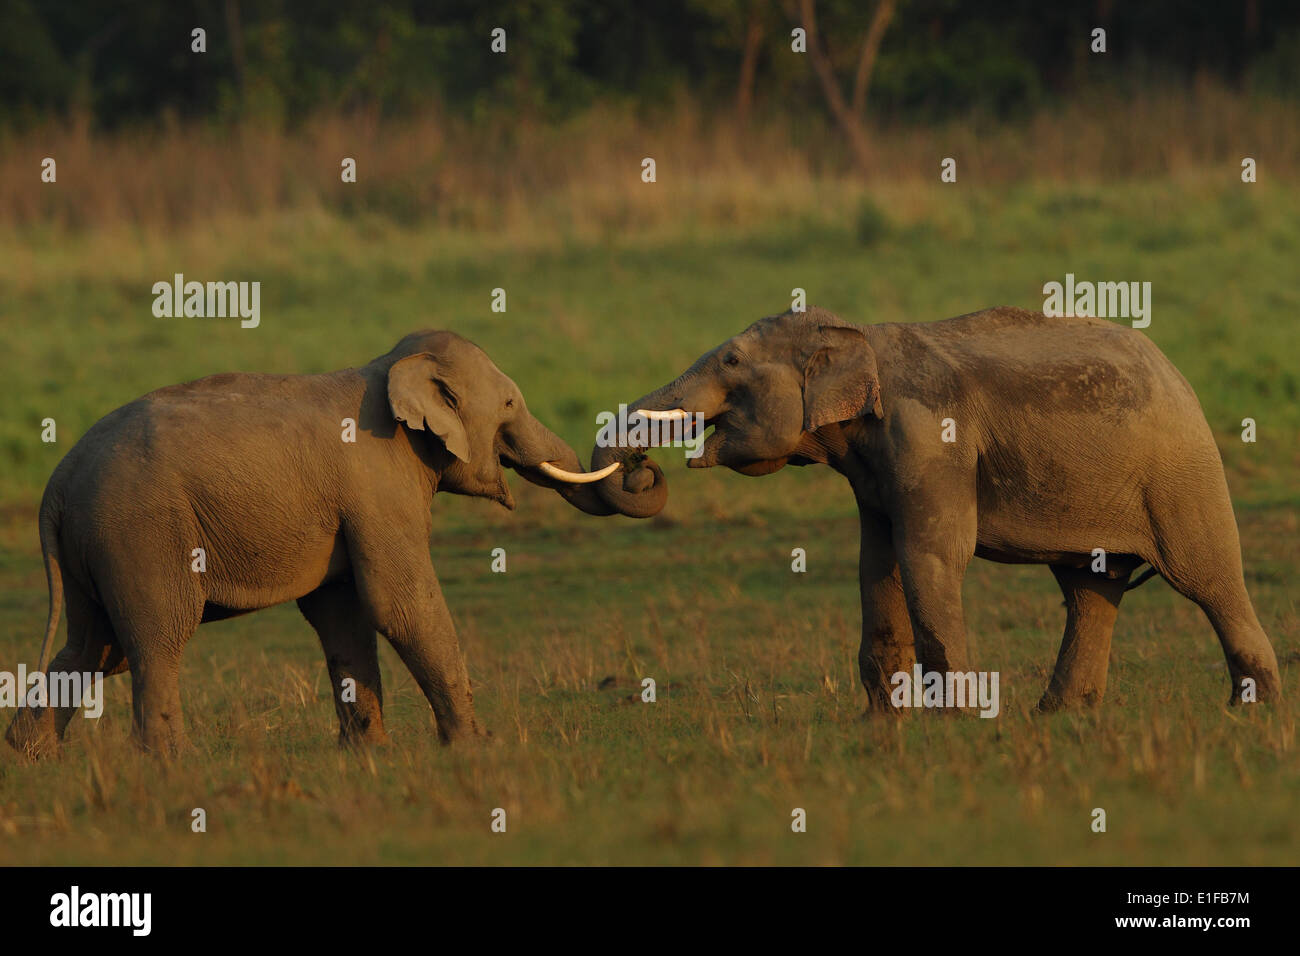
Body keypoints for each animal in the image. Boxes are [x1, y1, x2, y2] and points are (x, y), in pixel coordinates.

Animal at [5, 329, 666, 757]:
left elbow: (343, 612)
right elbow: (400, 602)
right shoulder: (378, 483)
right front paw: (476, 747)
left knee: (93, 646)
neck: (391, 366)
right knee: (156, 638)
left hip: (96, 542)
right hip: (140, 531)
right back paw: (170, 765)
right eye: (509, 403)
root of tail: (56, 486)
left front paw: (369, 754)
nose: (643, 465)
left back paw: (29, 758)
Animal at [589, 306, 1281, 712]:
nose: (642, 466)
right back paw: (1059, 718)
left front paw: (959, 723)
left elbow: (931, 555)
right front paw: (880, 725)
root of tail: (1178, 375)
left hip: (1180, 475)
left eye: (731, 361)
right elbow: (877, 563)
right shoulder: (874, 468)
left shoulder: (930, 437)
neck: (859, 336)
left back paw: (1254, 710)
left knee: (1209, 580)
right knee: (1090, 590)